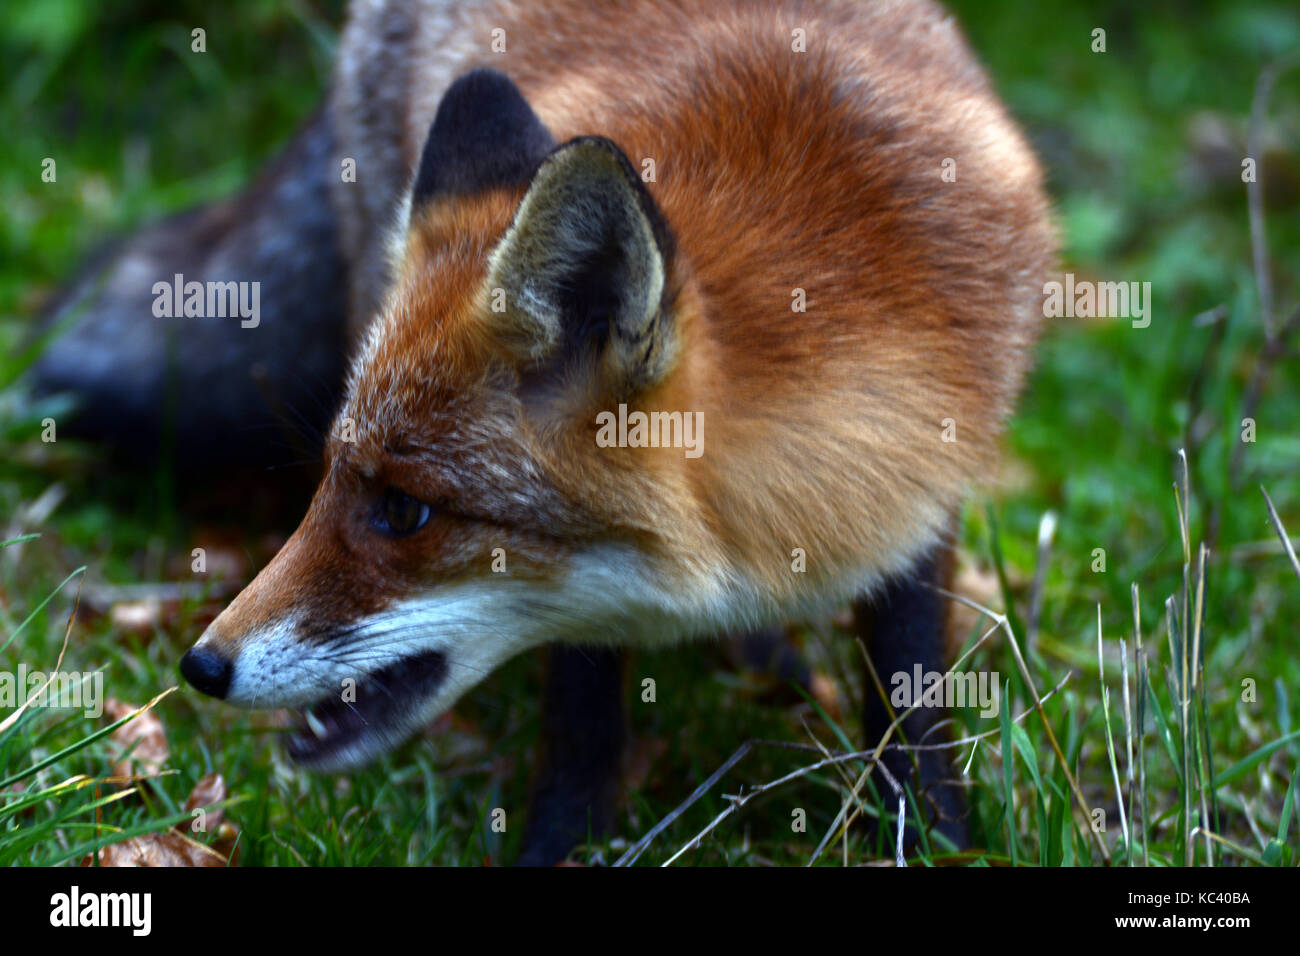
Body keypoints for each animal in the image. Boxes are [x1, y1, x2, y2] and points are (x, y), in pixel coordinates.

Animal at [33, 0, 1054, 864]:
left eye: (404, 510)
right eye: (328, 480)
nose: (200, 665)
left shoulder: (924, 495)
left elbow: (912, 689)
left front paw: (935, 834)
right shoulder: (593, 608)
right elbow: (583, 712)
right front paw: (566, 847)